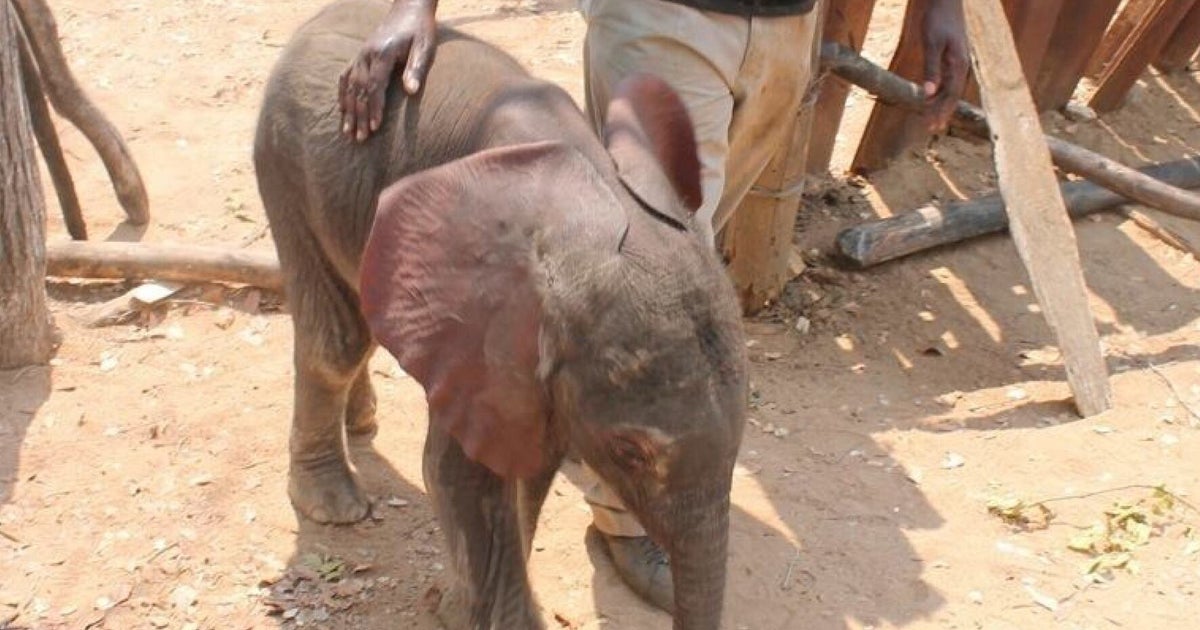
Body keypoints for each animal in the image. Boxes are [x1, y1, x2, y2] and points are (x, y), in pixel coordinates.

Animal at [252, 1, 748, 628]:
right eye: (630, 453)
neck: (599, 194)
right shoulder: (483, 334)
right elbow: (462, 474)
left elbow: (525, 469)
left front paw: (452, 608)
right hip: (285, 159)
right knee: (337, 339)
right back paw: (336, 506)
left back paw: (361, 424)